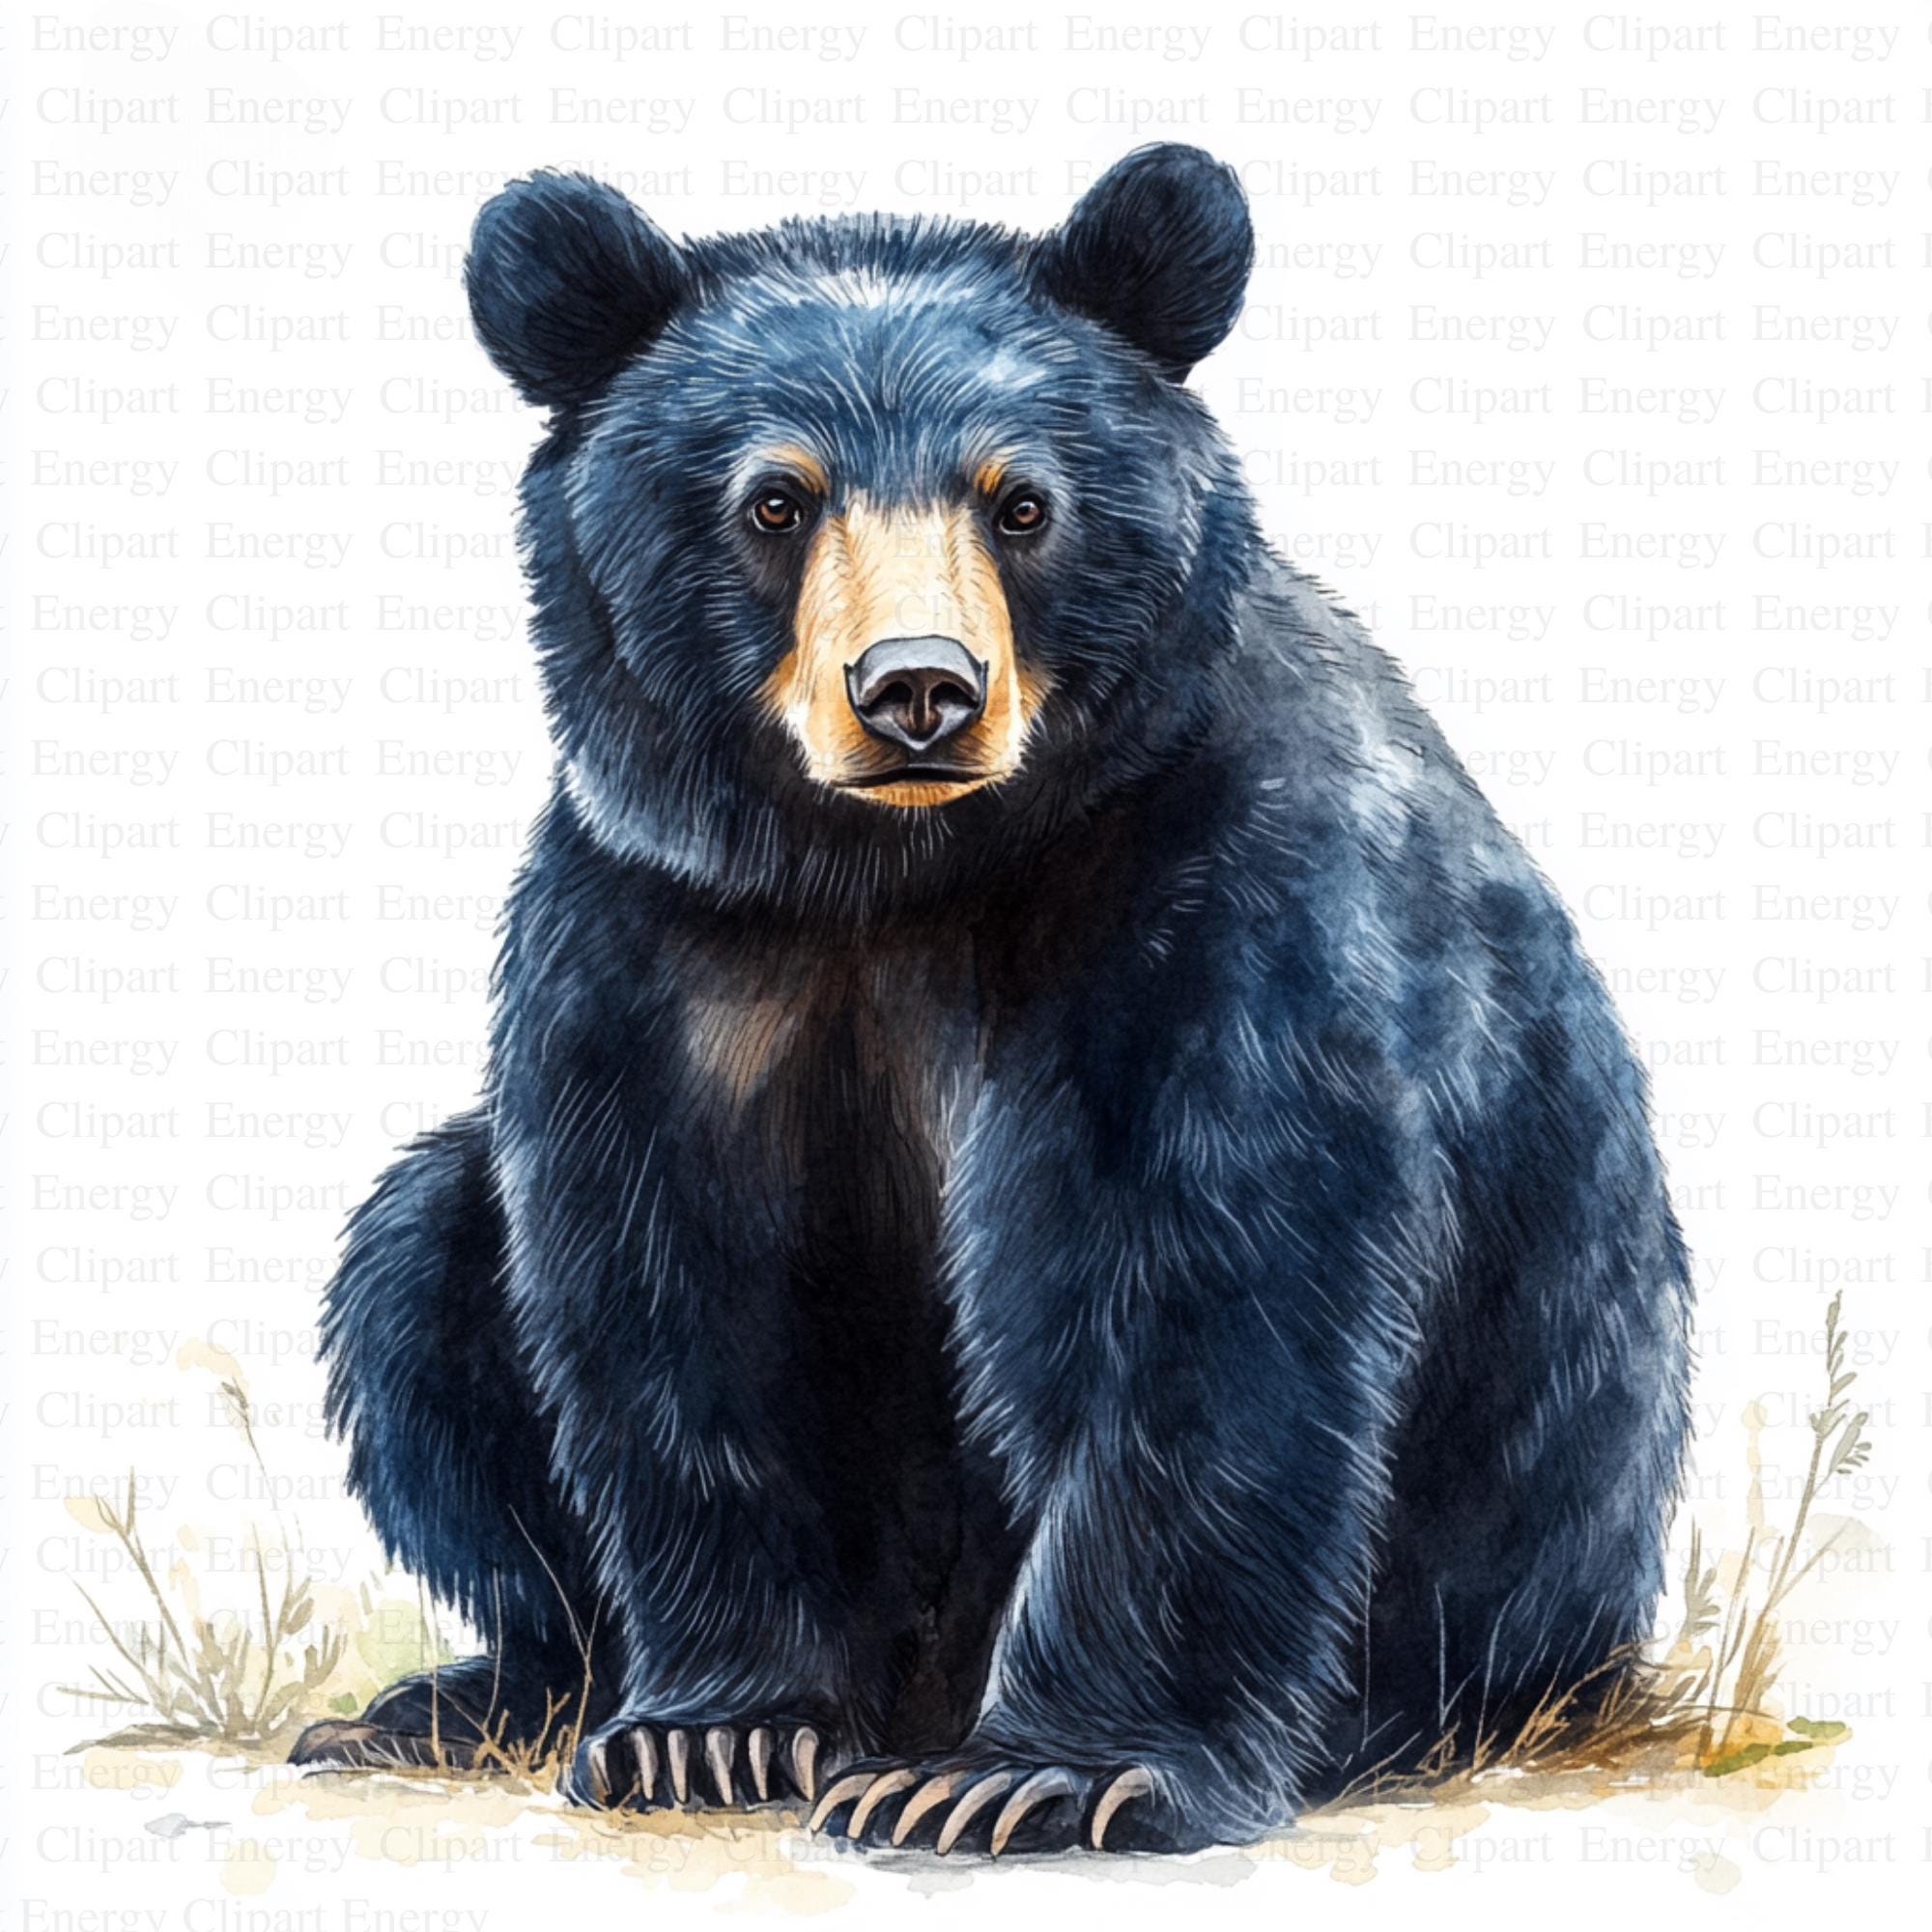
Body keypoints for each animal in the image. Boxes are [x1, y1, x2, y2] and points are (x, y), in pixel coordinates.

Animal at [290, 145, 1692, 1857]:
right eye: (776, 498)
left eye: (1021, 501)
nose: (918, 690)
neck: (894, 879)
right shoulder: (663, 934)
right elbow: (672, 1297)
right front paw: (714, 1732)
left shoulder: (1214, 895)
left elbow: (1200, 1292)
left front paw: (1038, 1773)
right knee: (423, 1247)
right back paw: (468, 1697)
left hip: (1528, 1533)